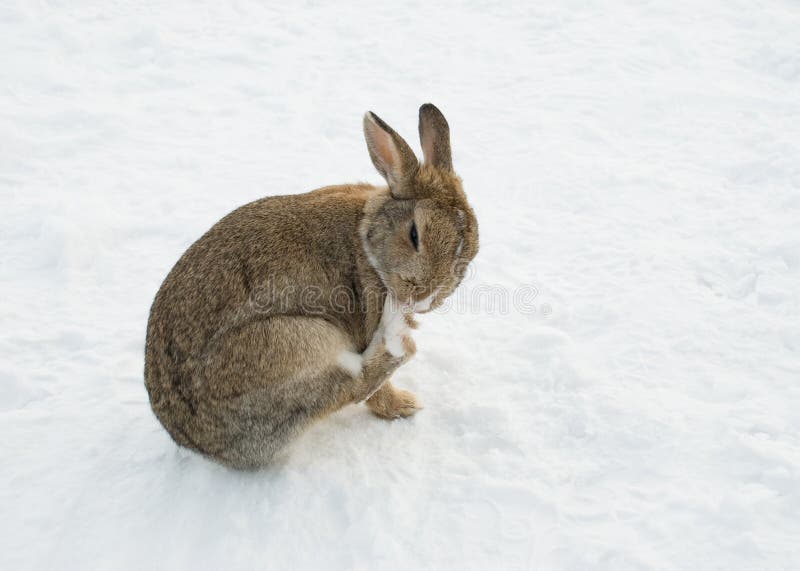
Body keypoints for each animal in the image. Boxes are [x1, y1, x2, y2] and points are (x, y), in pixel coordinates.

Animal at [144, 104, 479, 469]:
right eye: (415, 234)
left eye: (470, 256)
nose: (424, 297)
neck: (367, 238)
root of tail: (204, 445)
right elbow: (372, 392)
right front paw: (398, 406)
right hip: (294, 342)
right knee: (350, 386)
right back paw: (401, 359)